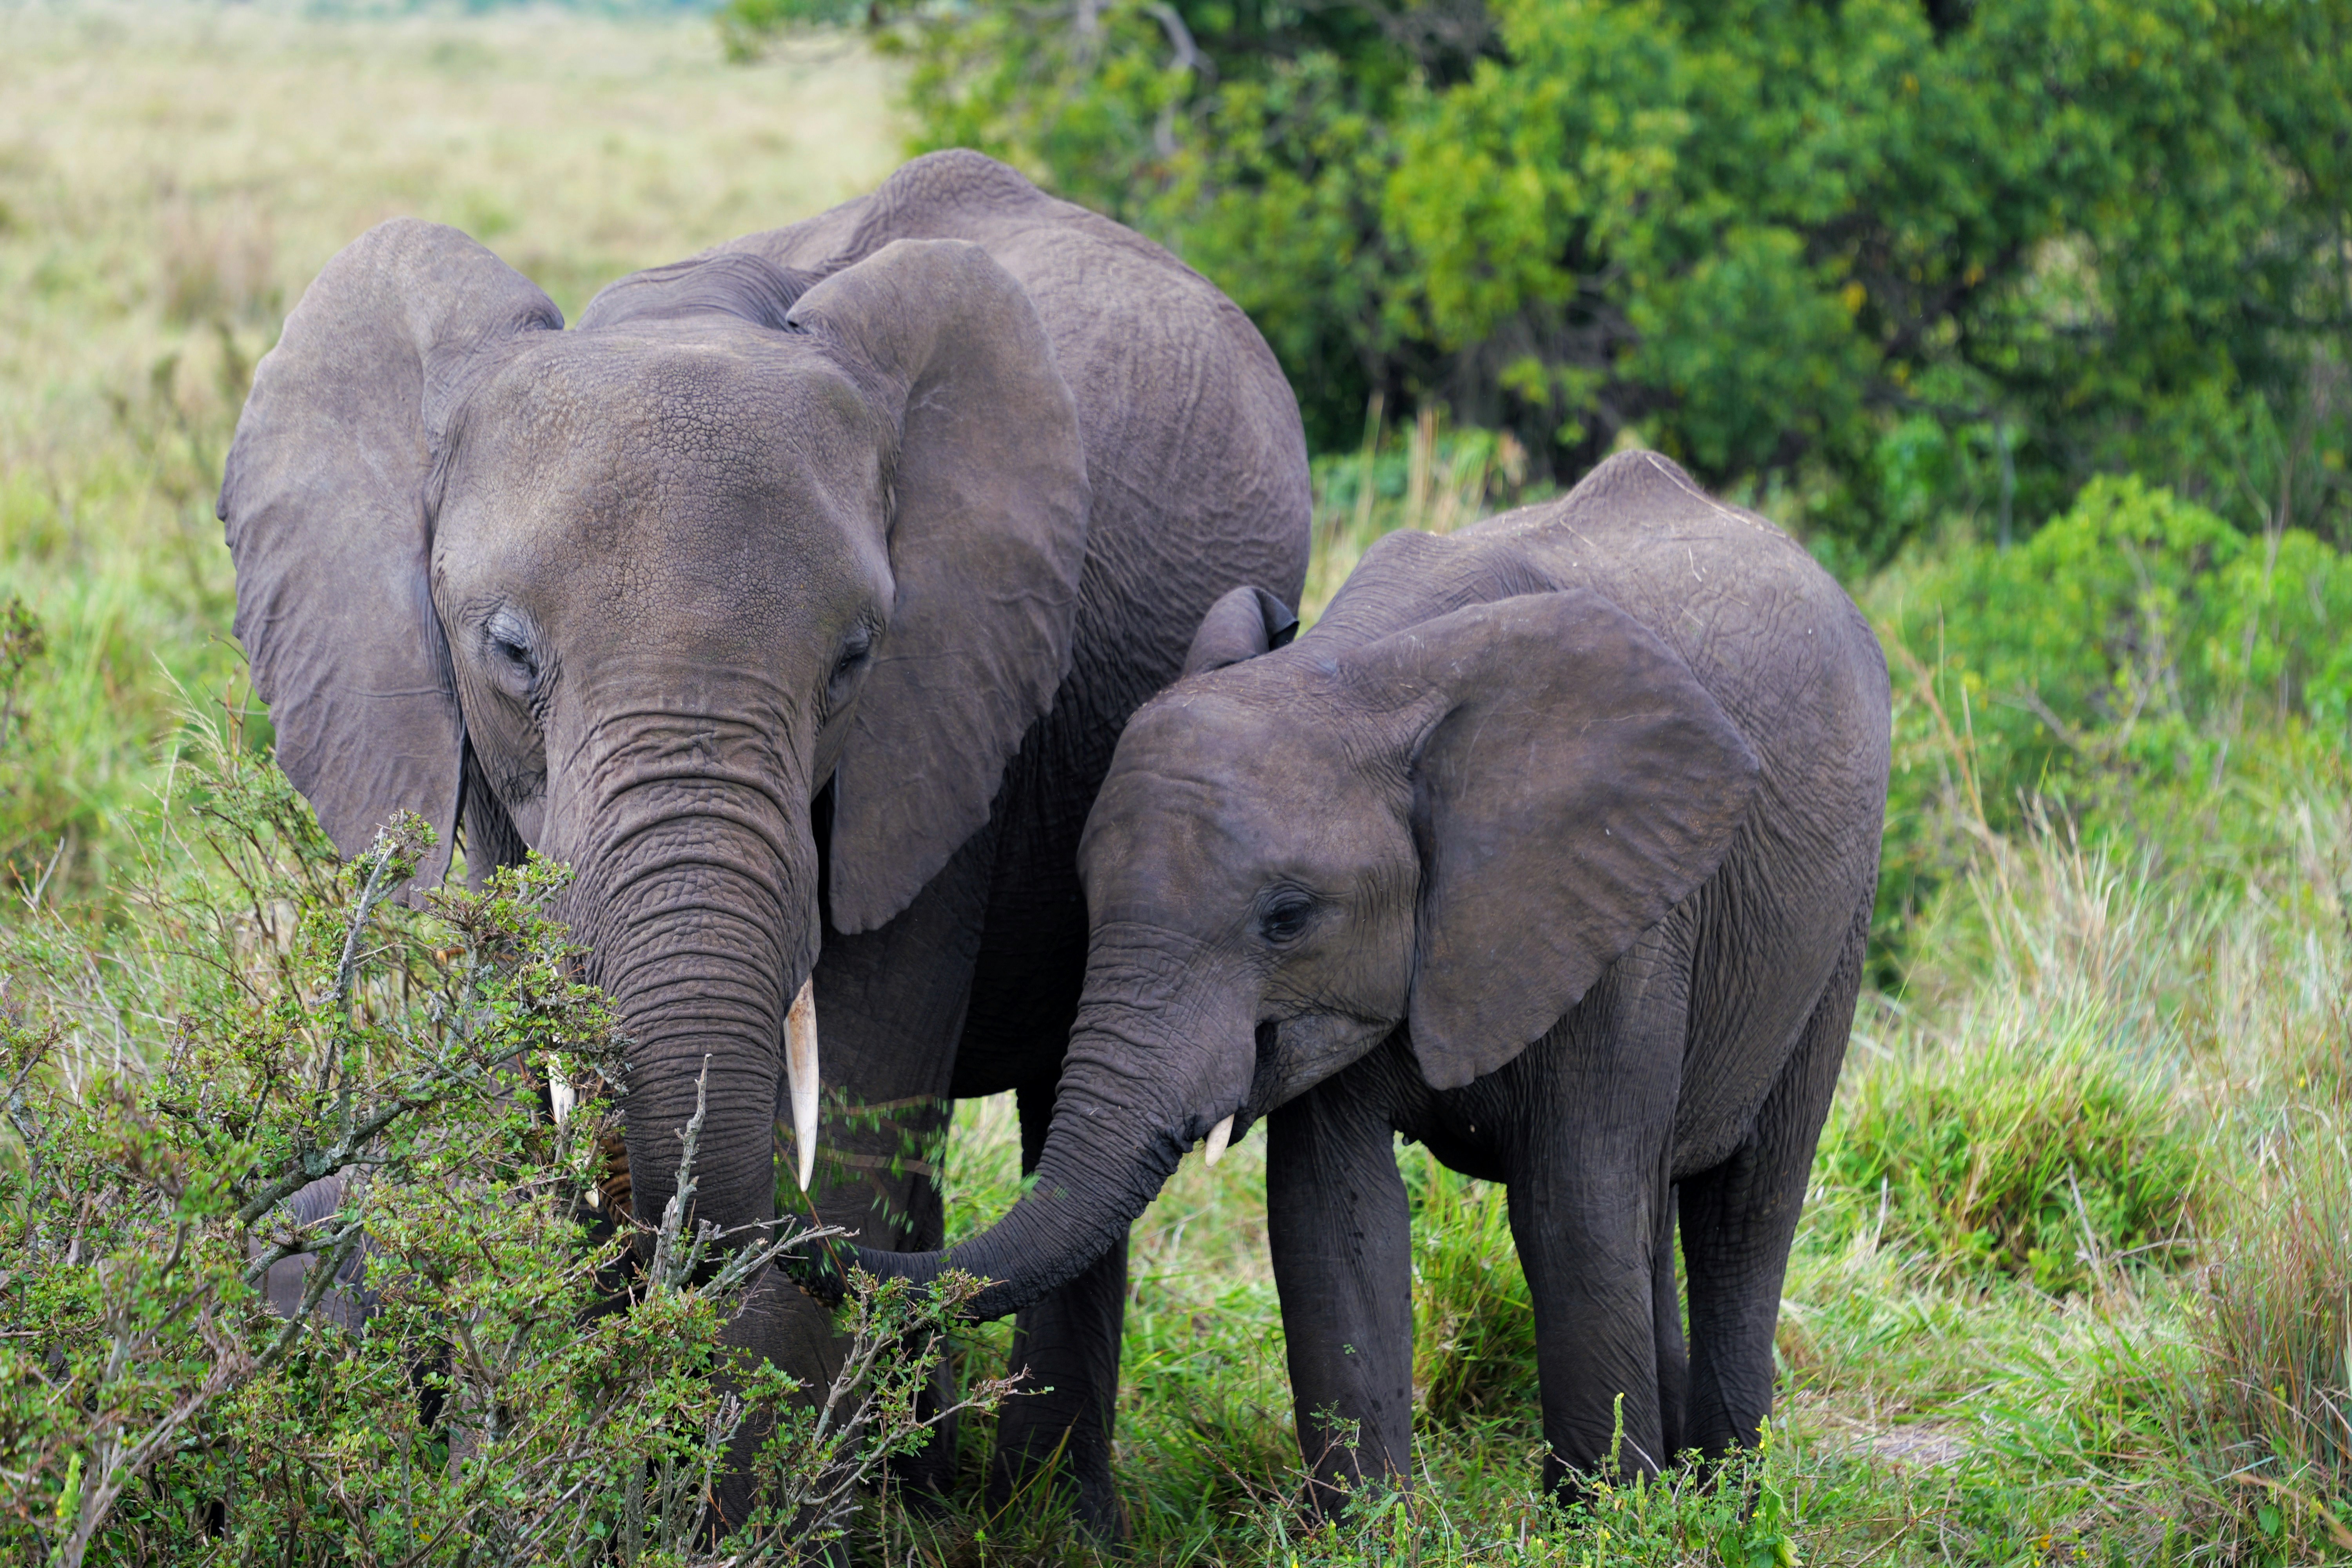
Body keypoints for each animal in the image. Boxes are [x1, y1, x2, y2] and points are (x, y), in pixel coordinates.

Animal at [217, 149, 1311, 1532]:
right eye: (507, 648)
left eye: (852, 659)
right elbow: (511, 1080)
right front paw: (504, 1491)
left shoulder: (948, 721)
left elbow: (862, 1090)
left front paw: (755, 1521)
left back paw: (1033, 1519)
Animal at [841, 450, 1891, 1495]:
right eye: (1084, 895)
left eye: (1287, 917)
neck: (1361, 673)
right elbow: (1331, 1217)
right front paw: (1377, 1519)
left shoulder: (1625, 911)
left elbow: (1574, 1215)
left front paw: (1602, 1516)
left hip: (1841, 914)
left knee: (1744, 1214)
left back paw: (1727, 1500)